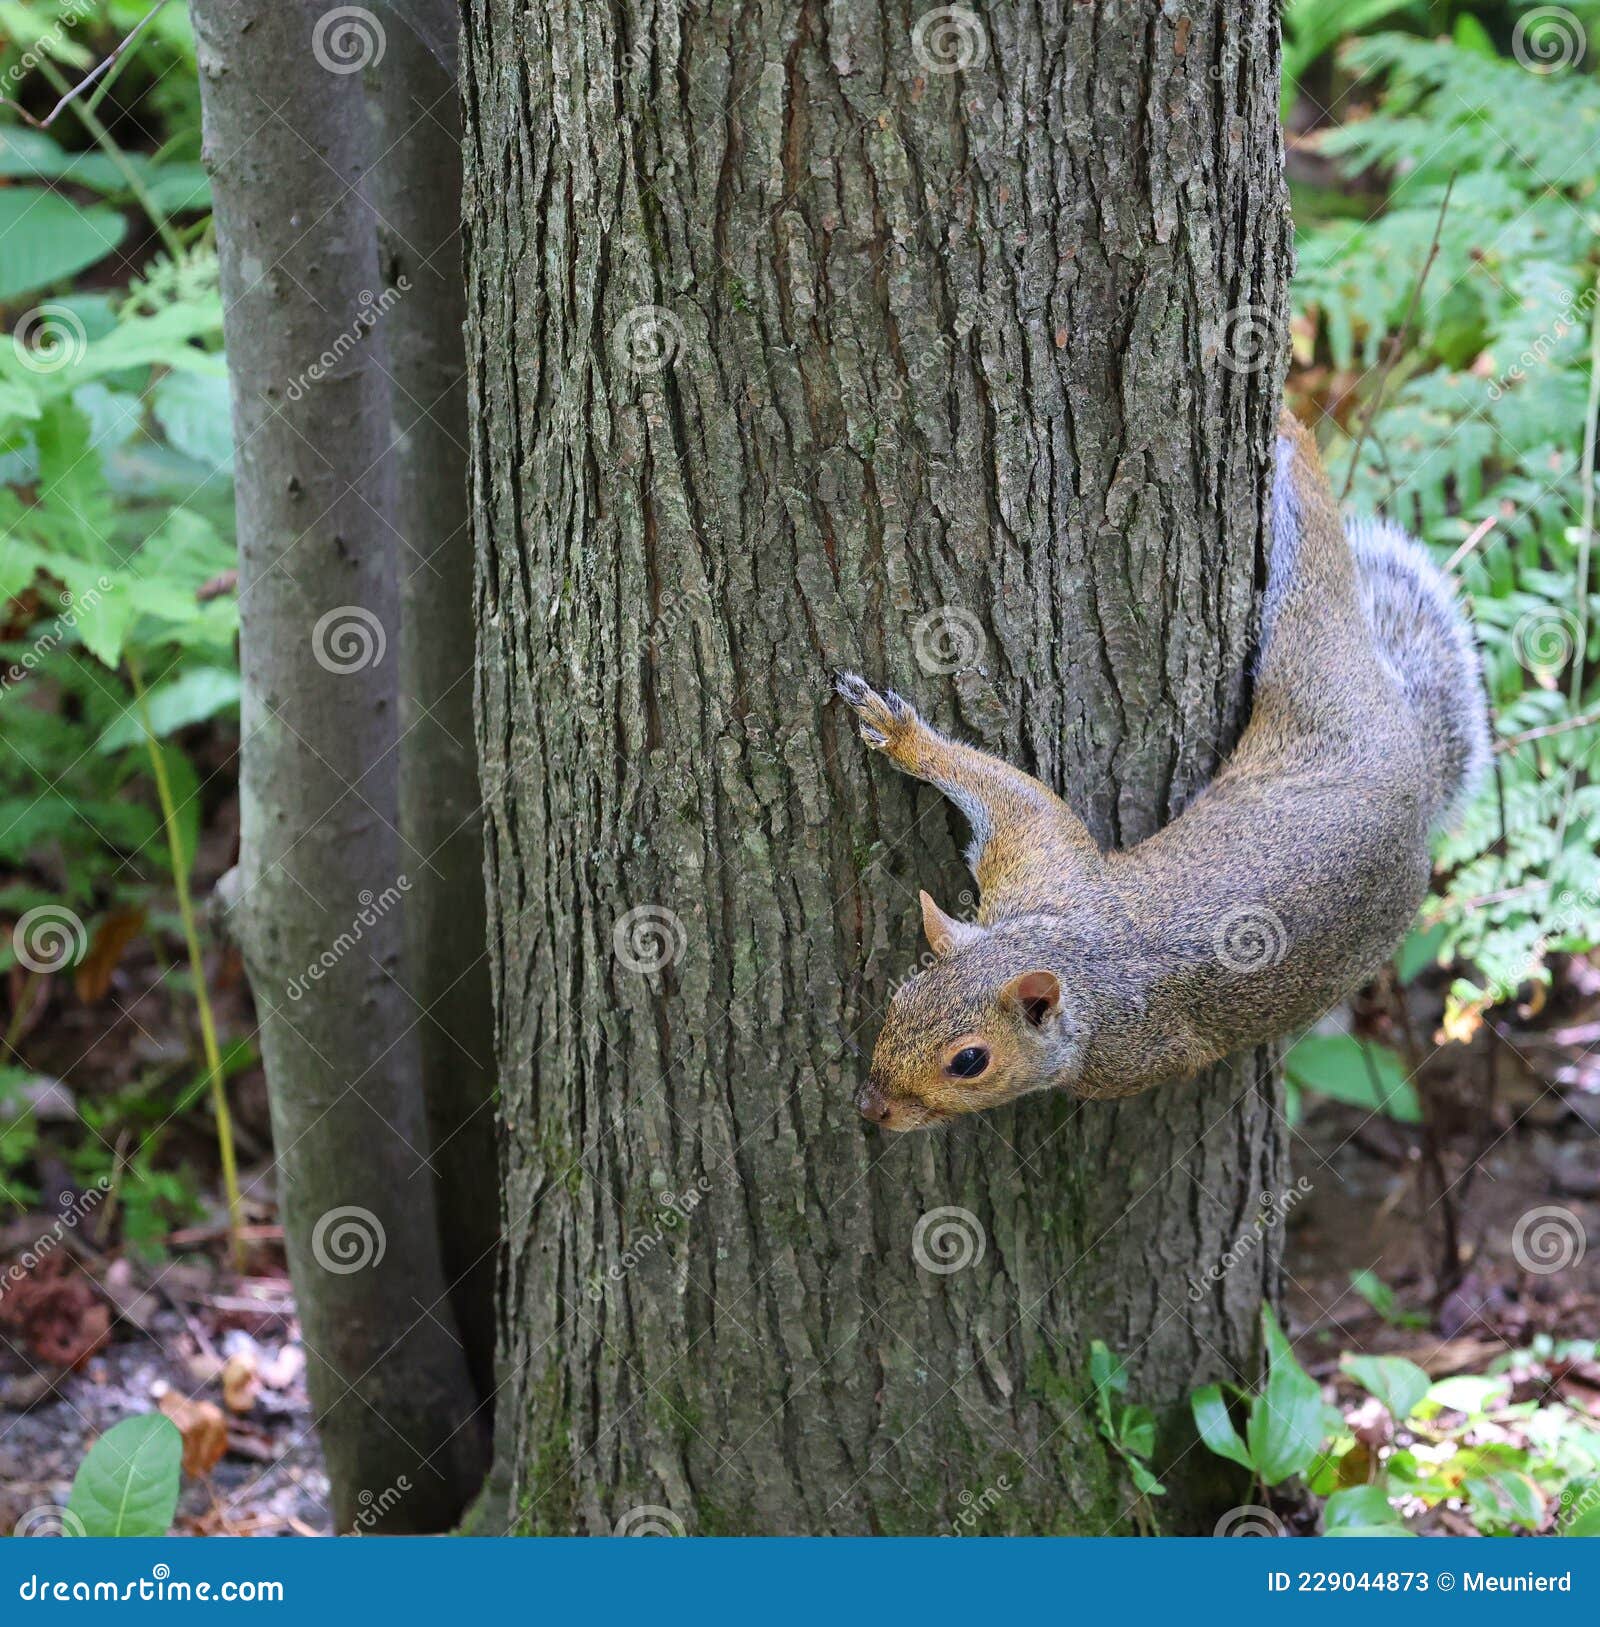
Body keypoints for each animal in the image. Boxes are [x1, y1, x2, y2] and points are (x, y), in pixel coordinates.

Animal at [837, 411, 1490, 1132]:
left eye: (970, 1061)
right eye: (903, 994)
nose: (870, 1107)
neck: (1076, 959)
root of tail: (1414, 782)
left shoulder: (1129, 1053)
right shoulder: (1036, 859)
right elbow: (1012, 793)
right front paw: (903, 738)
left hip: (1316, 676)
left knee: (1314, 573)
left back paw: (1293, 434)